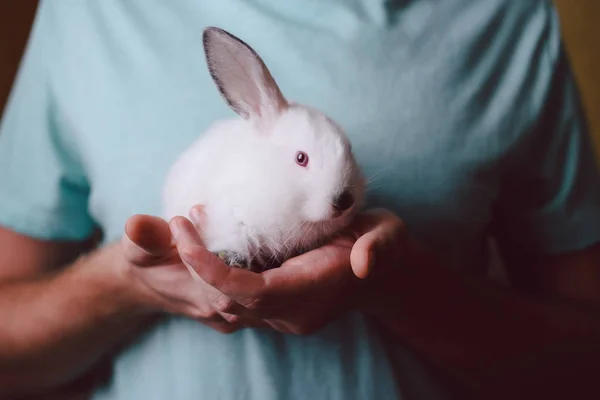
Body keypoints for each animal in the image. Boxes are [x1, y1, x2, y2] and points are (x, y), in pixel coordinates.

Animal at [161, 27, 366, 272]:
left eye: (349, 148)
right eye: (301, 158)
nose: (344, 201)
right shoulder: (227, 216)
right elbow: (231, 236)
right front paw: (232, 257)